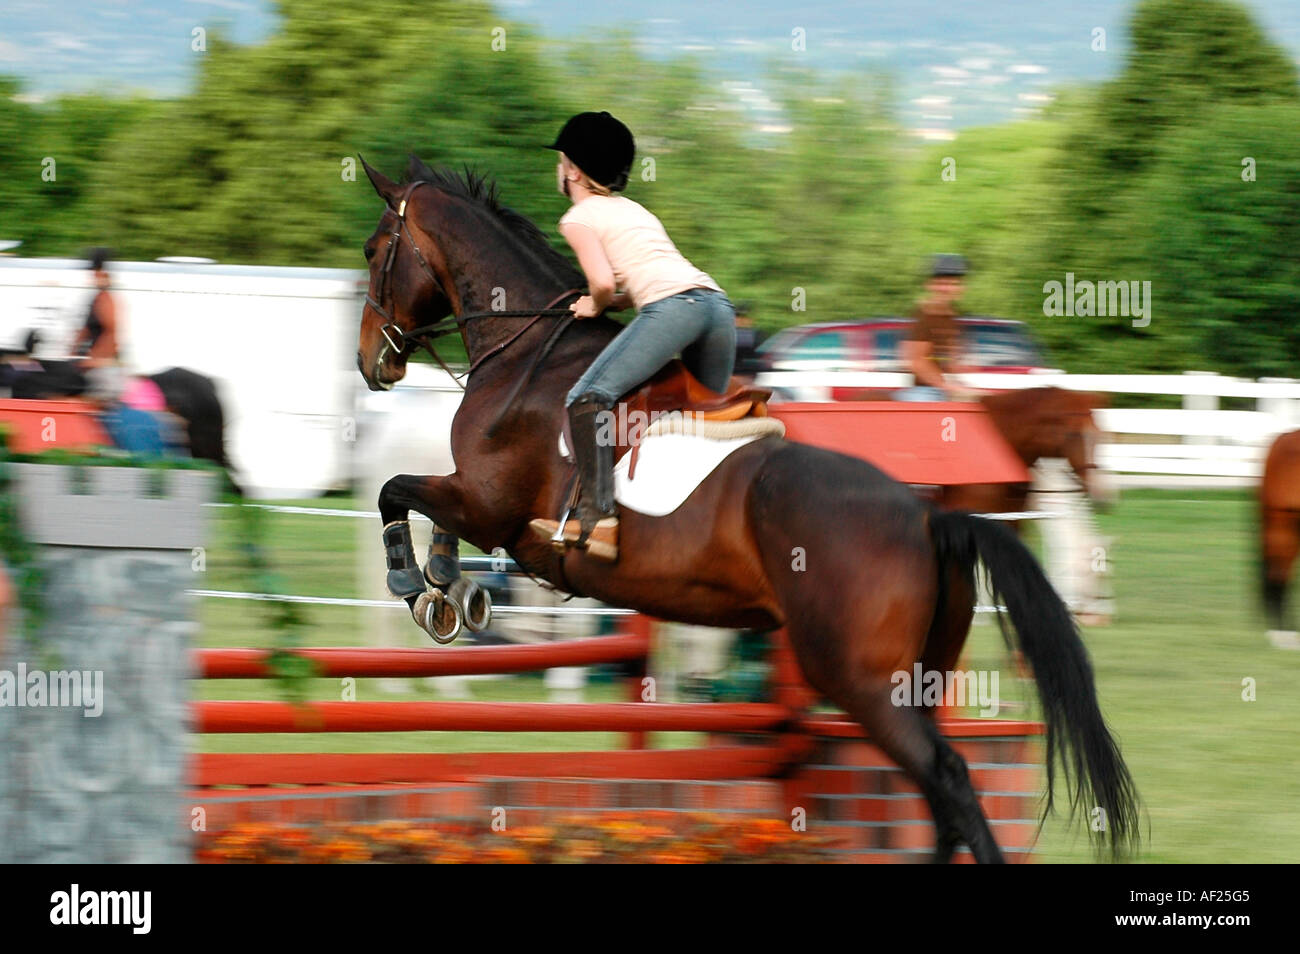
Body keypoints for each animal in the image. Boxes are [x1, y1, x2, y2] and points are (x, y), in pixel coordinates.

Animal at [355, 155, 1139, 862]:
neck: (525, 353)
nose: (372, 363)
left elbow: (399, 491)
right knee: (940, 787)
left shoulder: (492, 509)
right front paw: (451, 592)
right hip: (919, 674)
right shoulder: (479, 504)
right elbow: (424, 509)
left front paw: (419, 584)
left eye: (371, 251)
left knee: (945, 774)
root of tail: (926, 517)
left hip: (862, 680)